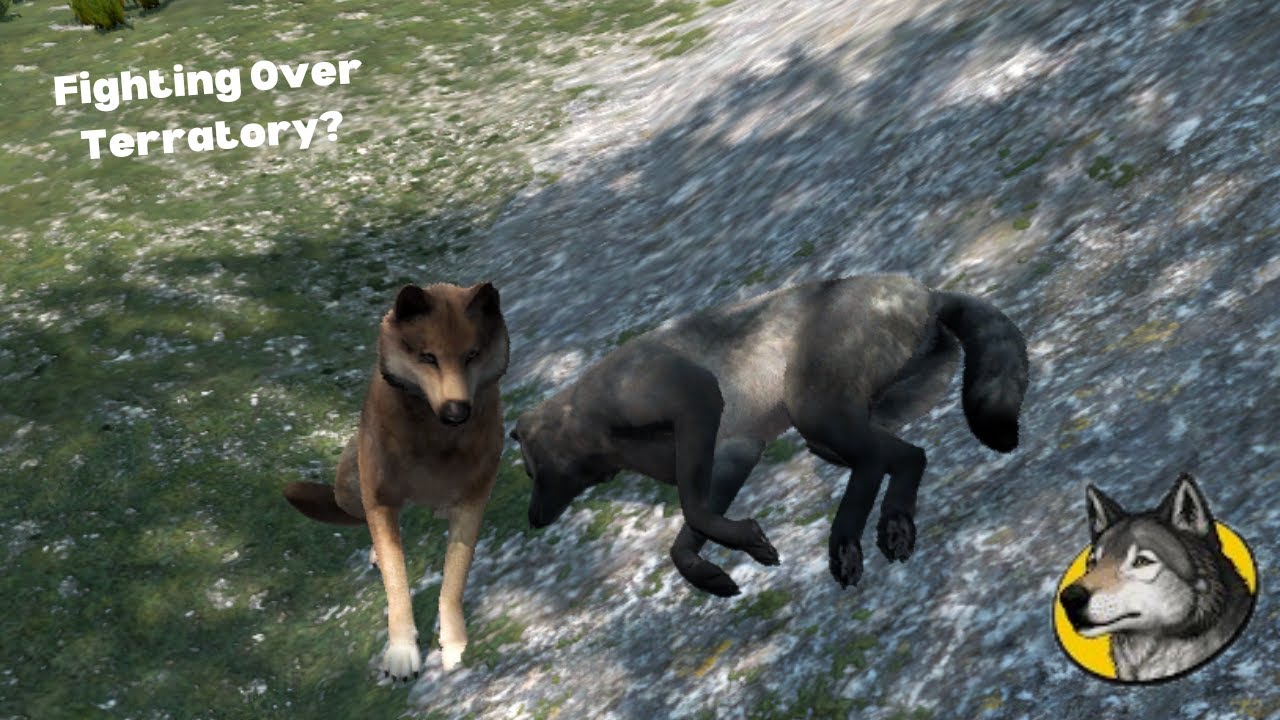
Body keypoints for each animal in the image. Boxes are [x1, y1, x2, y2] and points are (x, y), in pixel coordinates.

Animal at [282, 282, 509, 681]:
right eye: (428, 357)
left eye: (472, 355)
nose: (456, 412)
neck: (434, 437)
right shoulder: (381, 500)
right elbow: (396, 581)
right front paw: (402, 651)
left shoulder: (473, 501)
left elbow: (453, 582)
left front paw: (455, 647)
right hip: (348, 485)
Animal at [509, 274, 1028, 596]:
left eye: (532, 472)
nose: (531, 519)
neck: (591, 416)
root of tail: (926, 290)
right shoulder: (733, 453)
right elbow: (686, 537)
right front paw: (719, 571)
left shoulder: (697, 402)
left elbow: (692, 512)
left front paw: (748, 541)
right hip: (832, 430)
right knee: (900, 457)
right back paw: (884, 530)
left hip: (814, 411)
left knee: (892, 458)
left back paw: (851, 543)